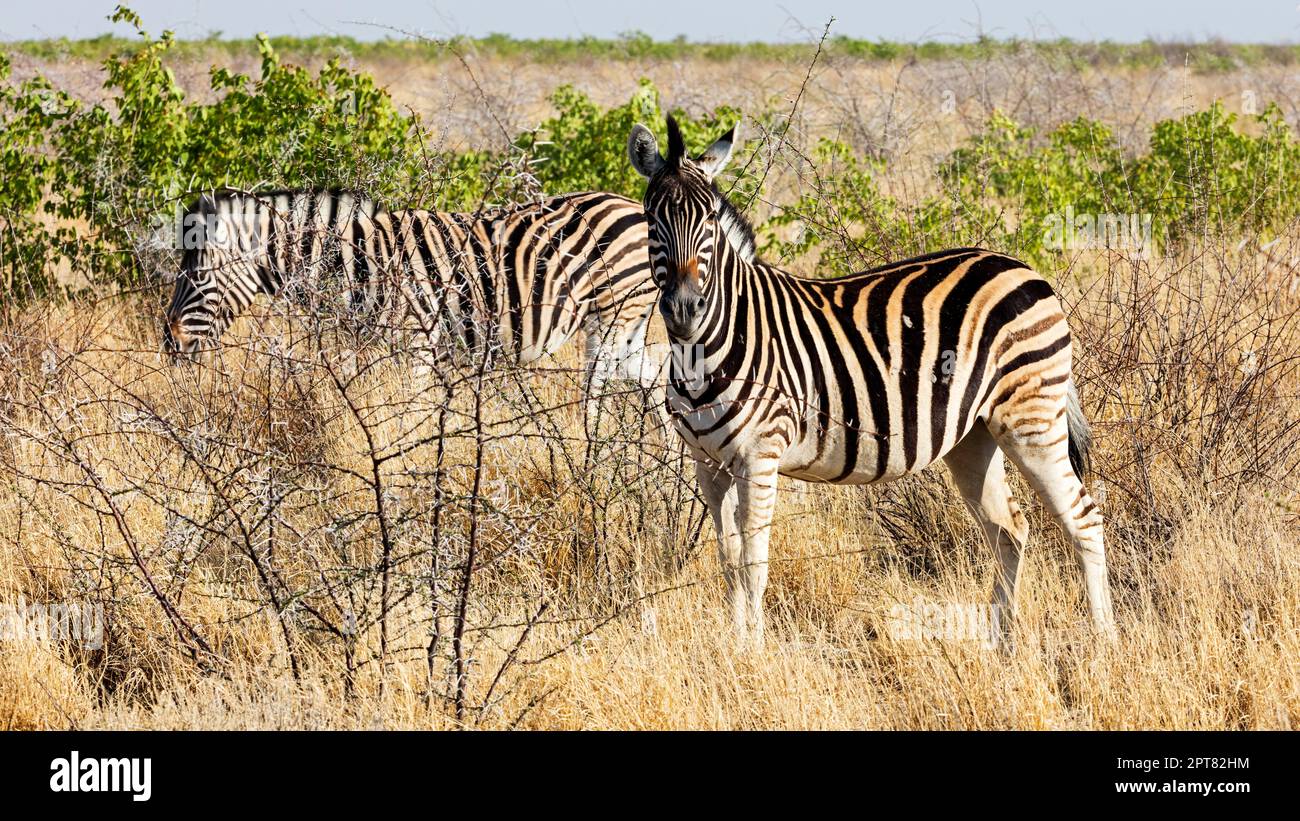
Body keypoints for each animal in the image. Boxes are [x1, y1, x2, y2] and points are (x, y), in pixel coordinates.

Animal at [162, 188, 662, 404]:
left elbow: (409, 415)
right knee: (654, 376)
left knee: (597, 391)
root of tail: (635, 206)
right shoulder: (367, 348)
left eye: (199, 276)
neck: (357, 263)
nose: (169, 343)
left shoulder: (416, 343)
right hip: (629, 321)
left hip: (613, 312)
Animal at [627, 115, 1117, 646]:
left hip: (1030, 418)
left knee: (1084, 520)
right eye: (652, 219)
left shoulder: (761, 454)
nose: (683, 309)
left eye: (711, 220)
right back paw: (1001, 641)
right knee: (1009, 529)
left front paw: (753, 651)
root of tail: (1023, 268)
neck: (711, 346)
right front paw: (736, 646)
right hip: (975, 435)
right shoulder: (707, 464)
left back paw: (1103, 640)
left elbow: (754, 564)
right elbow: (729, 561)